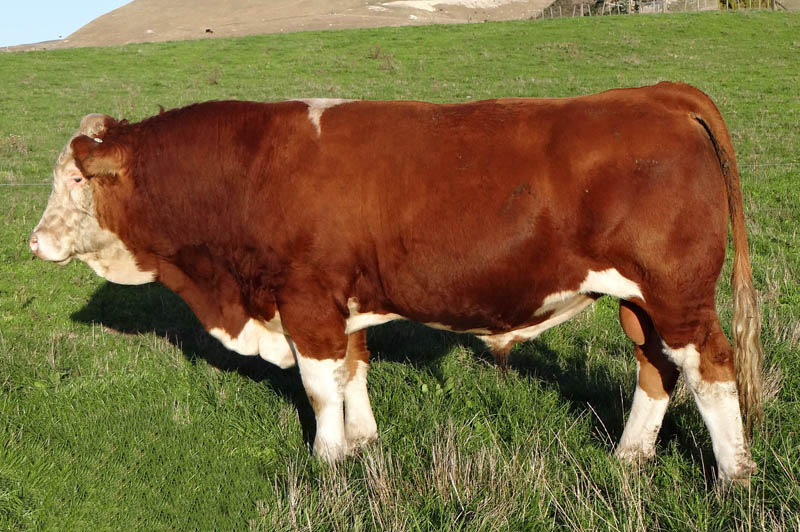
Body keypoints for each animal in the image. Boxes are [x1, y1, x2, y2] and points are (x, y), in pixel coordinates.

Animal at [30, 82, 763, 481]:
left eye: (75, 180)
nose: (34, 242)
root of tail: (651, 95)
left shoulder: (307, 301)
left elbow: (318, 387)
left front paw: (326, 461)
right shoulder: (341, 302)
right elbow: (351, 374)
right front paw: (362, 444)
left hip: (678, 293)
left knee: (712, 370)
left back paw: (735, 477)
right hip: (639, 301)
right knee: (655, 366)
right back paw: (629, 457)